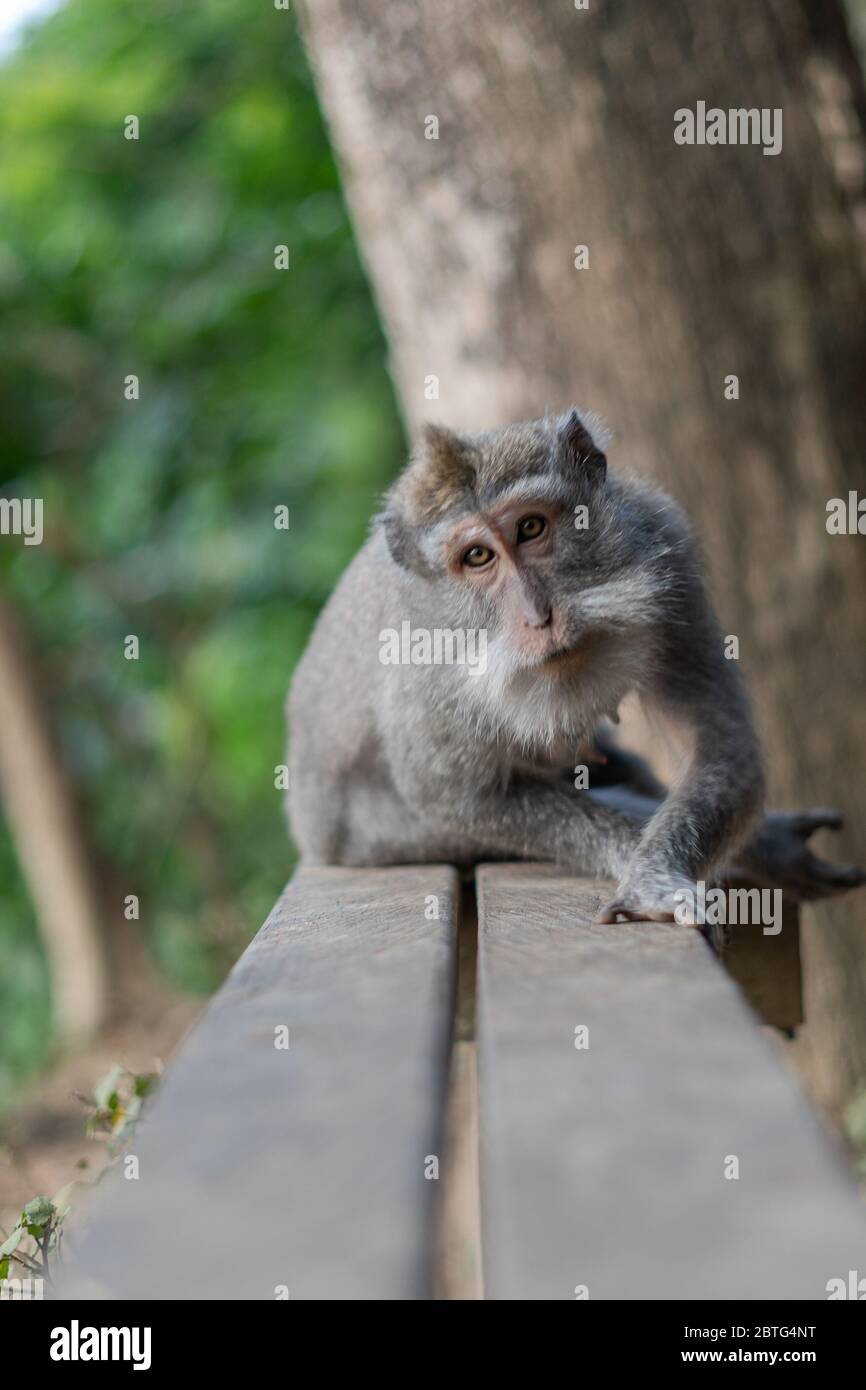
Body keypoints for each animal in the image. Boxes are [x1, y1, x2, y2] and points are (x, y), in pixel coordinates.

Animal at [287, 409, 865, 922]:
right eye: (477, 557)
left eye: (531, 527)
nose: (538, 616)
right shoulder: (421, 668)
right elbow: (453, 796)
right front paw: (649, 865)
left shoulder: (667, 543)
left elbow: (717, 745)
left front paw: (661, 868)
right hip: (377, 836)